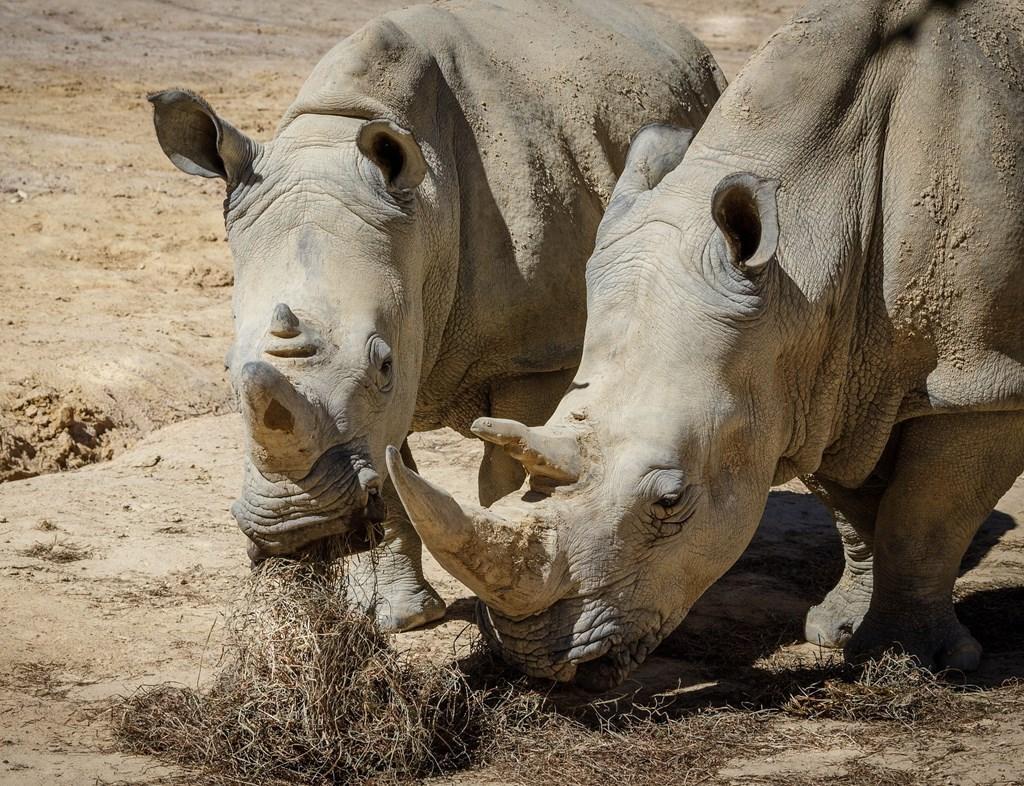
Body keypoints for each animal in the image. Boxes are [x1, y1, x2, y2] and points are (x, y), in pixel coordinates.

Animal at [148, 0, 725, 631]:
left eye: (382, 364)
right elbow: (393, 472)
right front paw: (401, 620)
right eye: (227, 369)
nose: (297, 530)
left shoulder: (537, 352)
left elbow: (515, 468)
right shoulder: (396, 356)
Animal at [388, 0, 1024, 687]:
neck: (810, 258)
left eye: (670, 501)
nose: (537, 658)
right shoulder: (816, 375)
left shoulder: (981, 379)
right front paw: (839, 633)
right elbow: (854, 508)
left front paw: (907, 662)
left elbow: (923, 516)